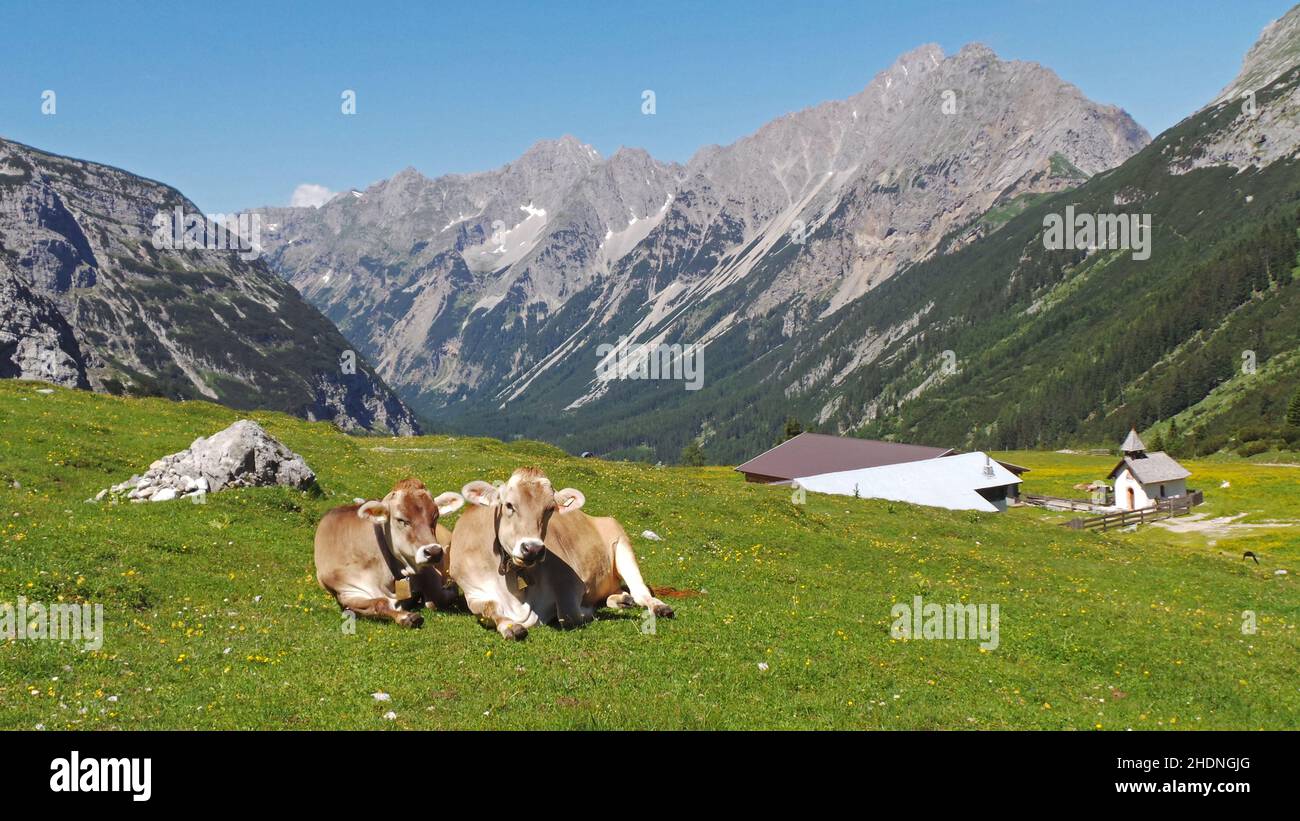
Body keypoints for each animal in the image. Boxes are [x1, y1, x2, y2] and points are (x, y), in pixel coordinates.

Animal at [314, 478, 465, 628]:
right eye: (401, 519)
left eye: (435, 517)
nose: (433, 552)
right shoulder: (348, 591)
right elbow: (379, 602)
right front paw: (406, 616)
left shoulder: (428, 571)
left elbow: (439, 597)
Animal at [449, 467, 674, 640]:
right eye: (509, 505)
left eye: (550, 509)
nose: (533, 548)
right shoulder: (473, 592)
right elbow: (489, 607)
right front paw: (509, 627)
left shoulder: (569, 580)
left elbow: (569, 614)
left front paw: (588, 610)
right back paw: (621, 600)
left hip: (622, 544)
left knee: (640, 591)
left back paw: (659, 607)